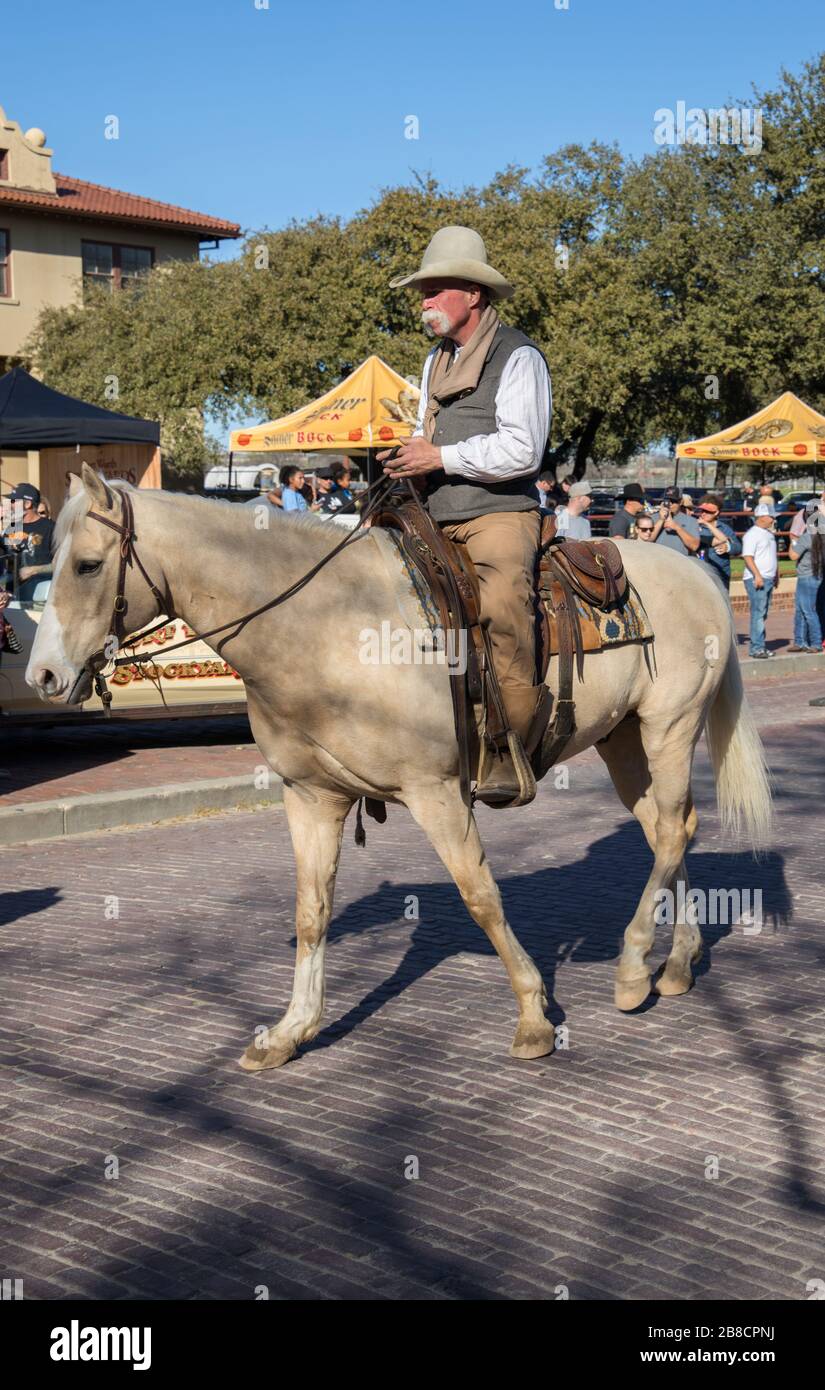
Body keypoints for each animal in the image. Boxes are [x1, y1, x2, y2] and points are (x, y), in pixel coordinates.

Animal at [27, 464, 771, 1071]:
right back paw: (675, 963)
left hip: (669, 727)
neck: (325, 627)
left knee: (670, 831)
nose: (43, 675)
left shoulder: (437, 792)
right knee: (671, 829)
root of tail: (698, 572)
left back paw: (631, 967)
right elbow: (312, 910)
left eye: (88, 565)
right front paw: (291, 1029)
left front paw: (533, 1015)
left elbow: (480, 895)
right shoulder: (310, 796)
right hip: (622, 740)